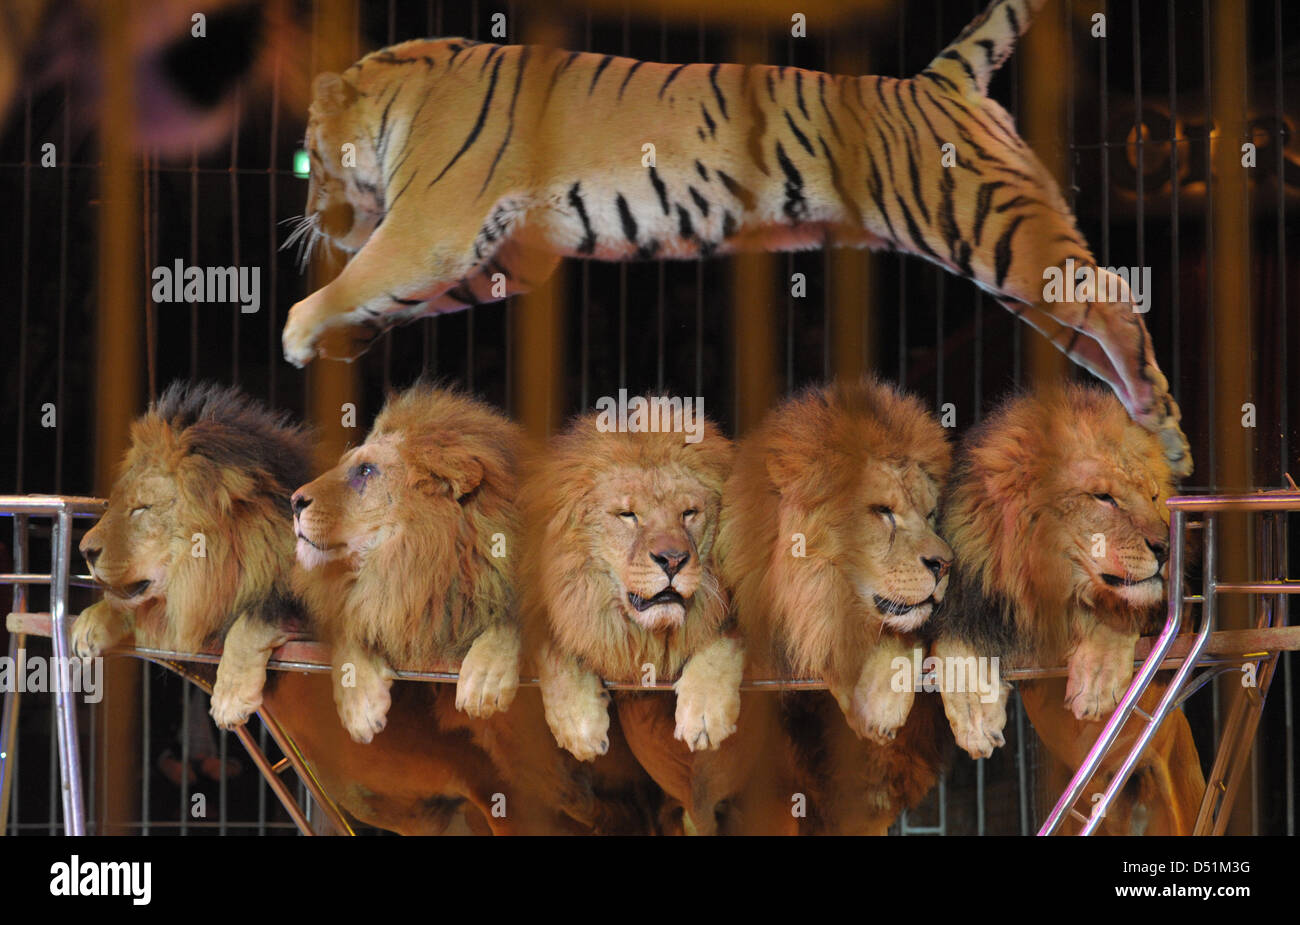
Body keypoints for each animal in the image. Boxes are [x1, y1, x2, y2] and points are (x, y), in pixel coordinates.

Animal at [72, 381, 313, 730]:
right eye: (113, 504)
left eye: (142, 508)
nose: (84, 551)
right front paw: (90, 622)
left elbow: (253, 618)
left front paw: (229, 698)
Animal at [282, 0, 1191, 479]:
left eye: (307, 159)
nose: (313, 218)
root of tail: (940, 79)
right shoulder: (510, 254)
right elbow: (401, 300)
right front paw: (345, 339)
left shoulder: (432, 226)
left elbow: (364, 277)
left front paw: (298, 329)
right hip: (1020, 261)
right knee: (1098, 323)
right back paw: (1166, 429)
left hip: (994, 232)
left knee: (1119, 300)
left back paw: (1154, 408)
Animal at [519, 400, 748, 833]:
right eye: (628, 515)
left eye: (689, 513)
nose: (673, 560)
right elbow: (556, 646)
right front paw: (579, 724)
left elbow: (725, 638)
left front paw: (703, 713)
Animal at [930, 384, 1205, 834]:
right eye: (1103, 497)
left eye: (1152, 496)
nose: (1167, 547)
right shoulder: (968, 601)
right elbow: (952, 646)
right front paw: (975, 714)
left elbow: (1121, 611)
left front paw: (1096, 681)